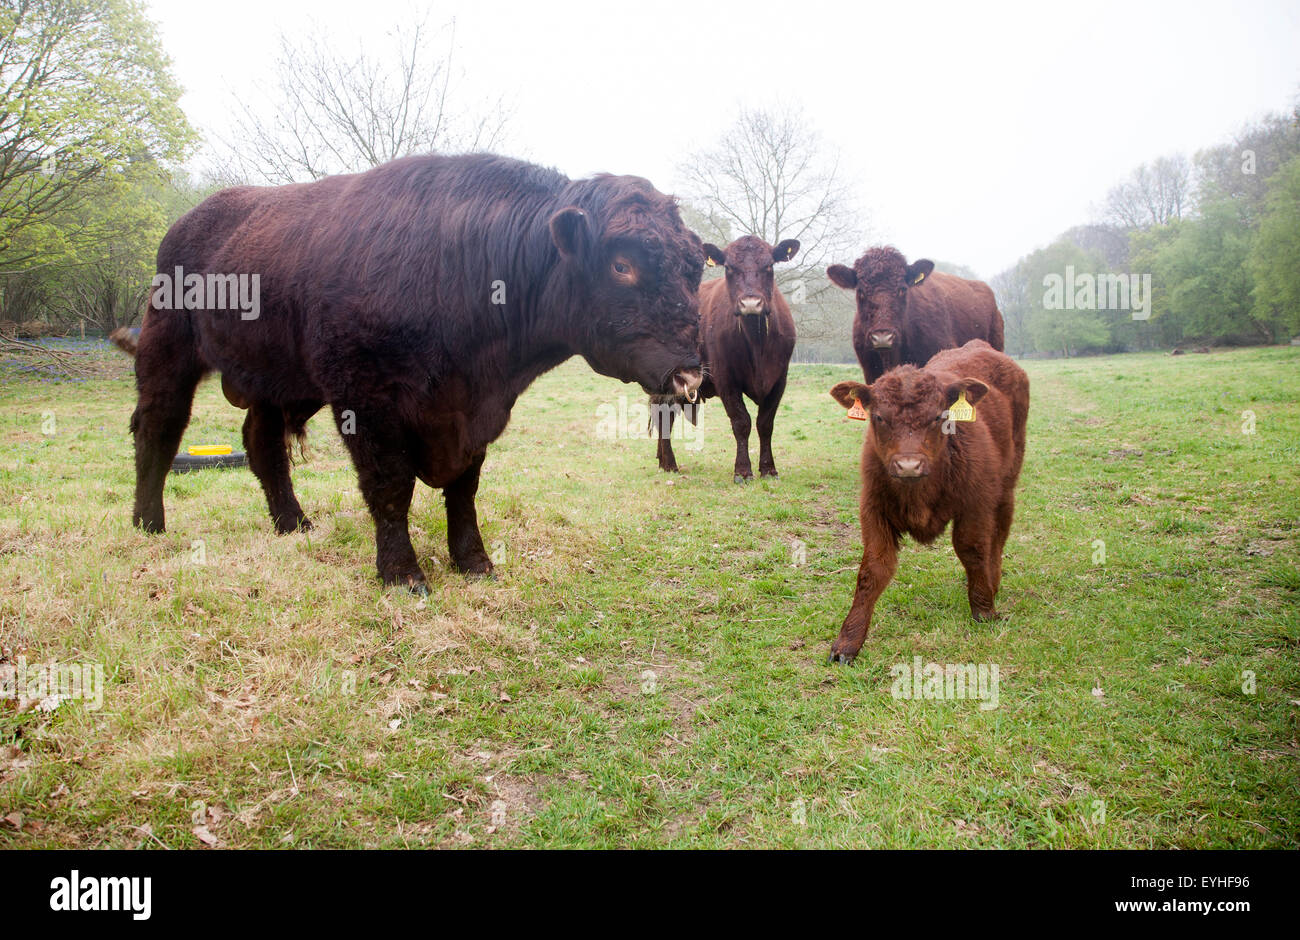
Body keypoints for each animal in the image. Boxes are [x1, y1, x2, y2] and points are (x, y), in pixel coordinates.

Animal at [115, 153, 706, 591]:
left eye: (693, 268)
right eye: (622, 265)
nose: (690, 376)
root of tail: (191, 218)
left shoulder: (471, 414)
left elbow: (464, 490)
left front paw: (475, 563)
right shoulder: (366, 401)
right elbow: (390, 485)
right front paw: (402, 575)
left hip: (271, 381)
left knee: (262, 446)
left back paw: (293, 525)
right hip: (169, 351)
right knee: (157, 429)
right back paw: (149, 524)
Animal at [652, 235, 800, 482]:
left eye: (769, 265)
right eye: (729, 268)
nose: (751, 303)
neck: (757, 342)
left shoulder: (779, 379)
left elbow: (765, 423)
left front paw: (768, 469)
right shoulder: (725, 379)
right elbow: (741, 422)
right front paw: (743, 471)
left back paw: (662, 461)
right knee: (663, 416)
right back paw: (670, 464)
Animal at [825, 339, 1029, 665]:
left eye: (939, 417)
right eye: (878, 417)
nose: (908, 465)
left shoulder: (976, 503)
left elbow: (972, 550)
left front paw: (984, 609)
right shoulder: (873, 509)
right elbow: (872, 570)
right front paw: (848, 642)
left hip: (1007, 481)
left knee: (999, 534)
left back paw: (992, 581)